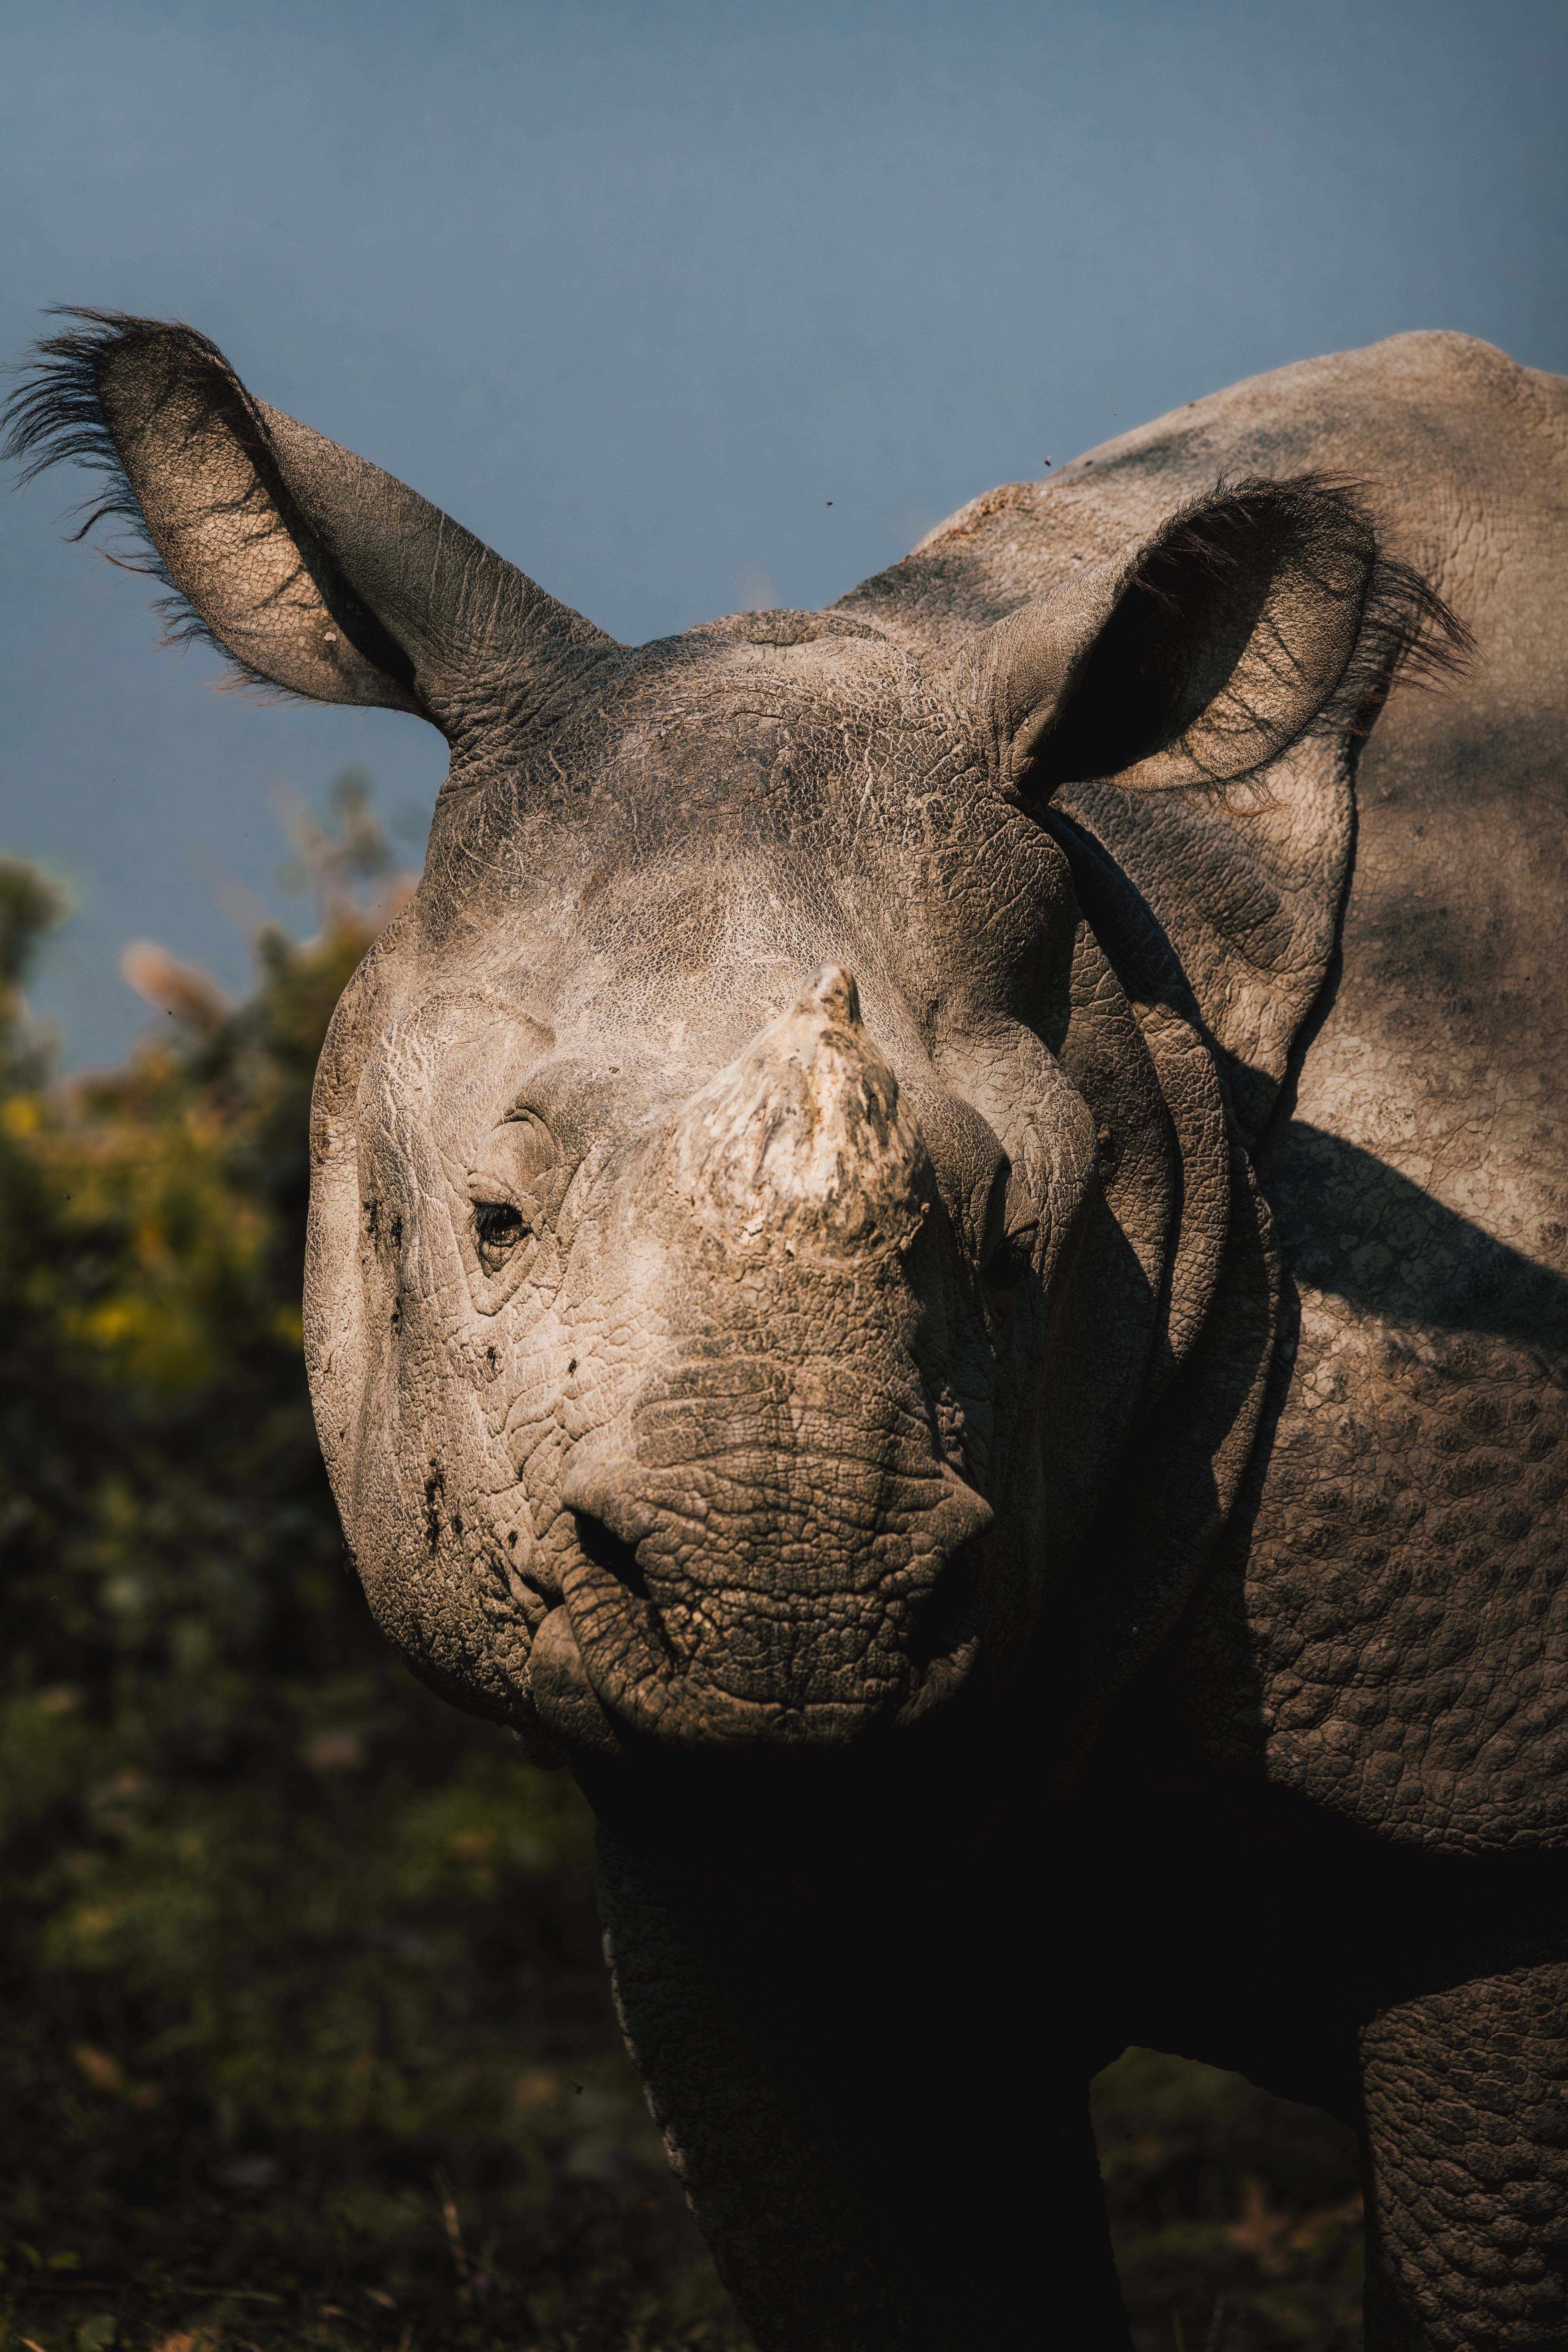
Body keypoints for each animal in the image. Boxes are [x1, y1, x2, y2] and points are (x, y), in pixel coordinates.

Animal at [8, 310, 1566, 2348]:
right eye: (489, 1224)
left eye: (1020, 1248)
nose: (796, 1610)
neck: (1166, 951)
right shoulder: (720, 1817)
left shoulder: (1500, 1828)